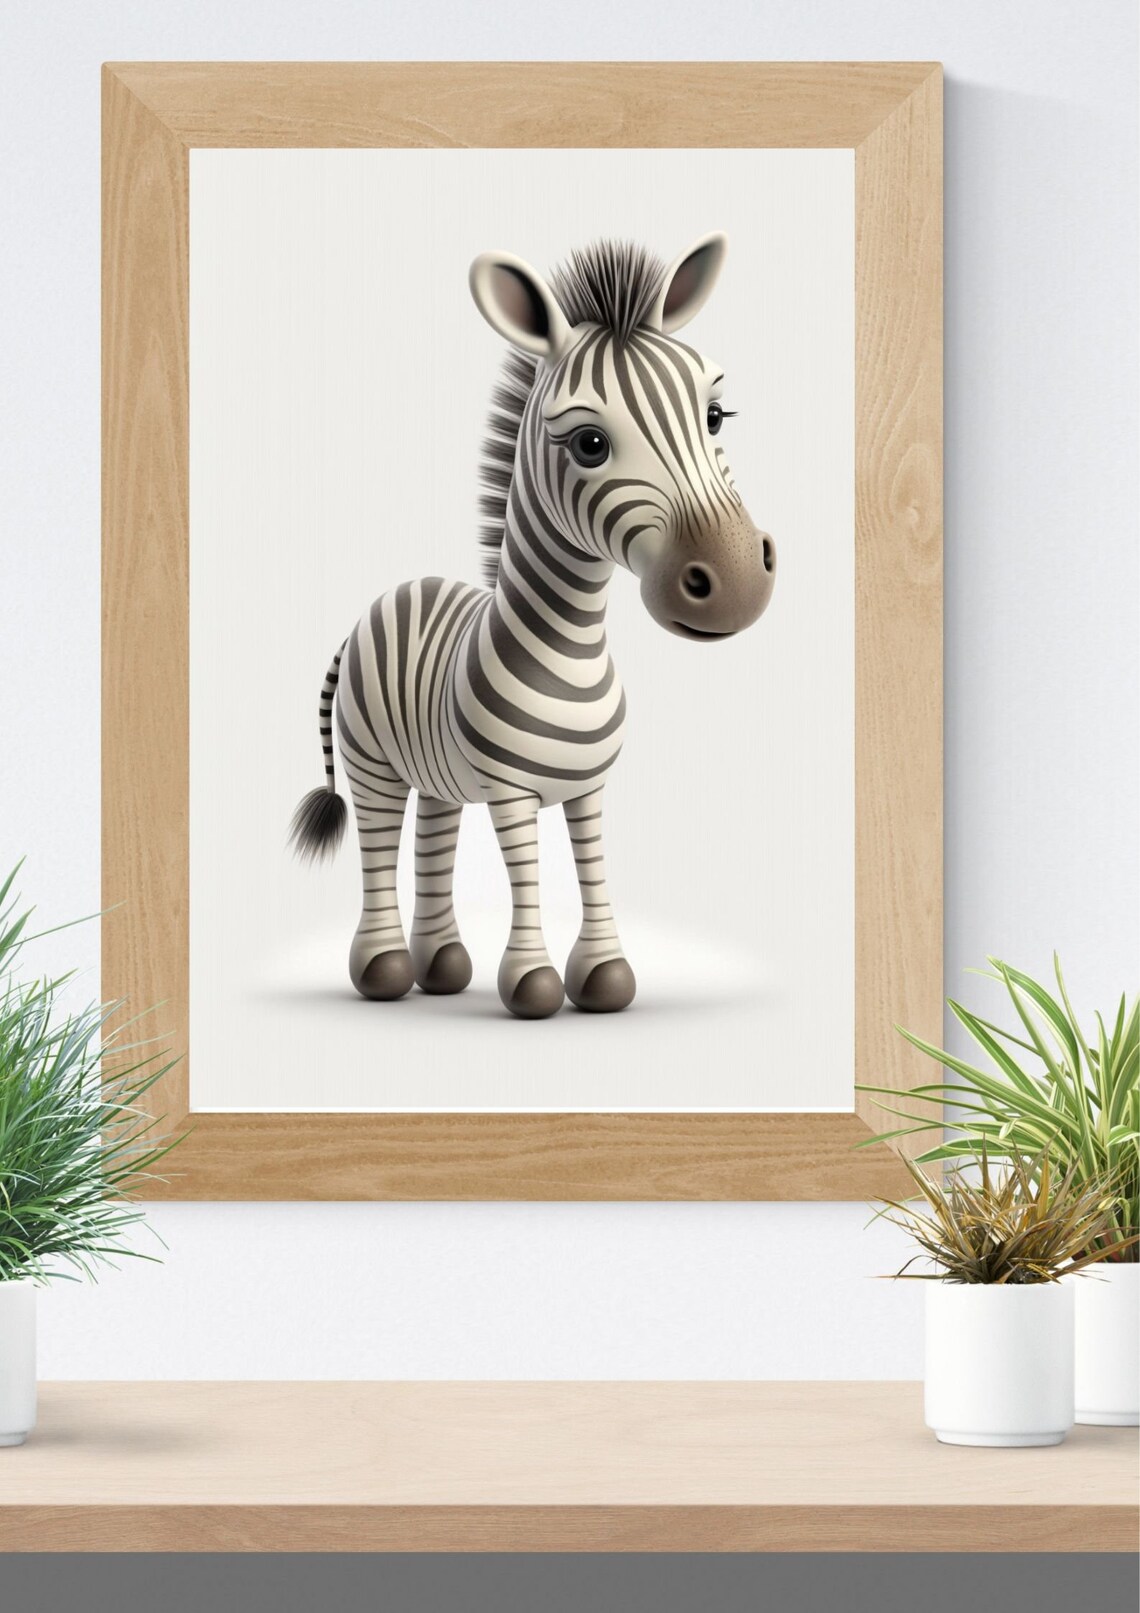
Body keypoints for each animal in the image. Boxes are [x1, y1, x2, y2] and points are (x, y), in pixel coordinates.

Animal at [290, 232, 776, 1019]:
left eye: (715, 416)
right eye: (588, 444)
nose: (736, 584)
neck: (572, 647)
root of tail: (394, 592)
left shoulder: (588, 789)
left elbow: (592, 865)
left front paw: (604, 976)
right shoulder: (512, 792)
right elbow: (527, 874)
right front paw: (532, 982)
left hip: (439, 773)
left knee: (433, 837)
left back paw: (442, 965)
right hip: (371, 761)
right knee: (378, 840)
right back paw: (386, 968)